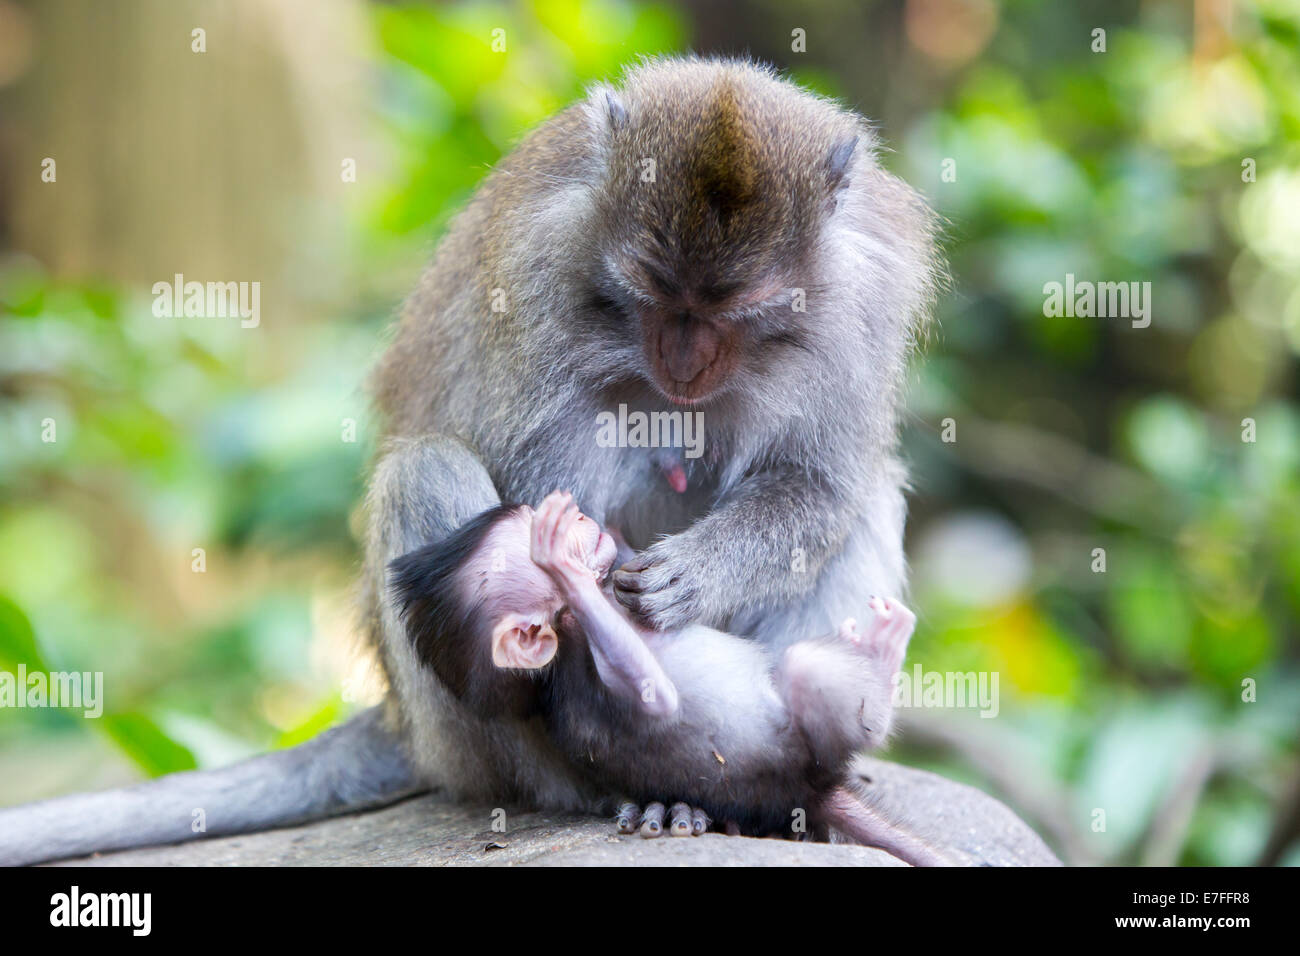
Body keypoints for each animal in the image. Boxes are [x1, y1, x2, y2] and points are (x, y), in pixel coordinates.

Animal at [388, 490, 946, 865]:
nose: (579, 514)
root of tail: (809, 790)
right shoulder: (581, 672)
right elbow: (654, 698)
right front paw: (561, 566)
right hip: (805, 748)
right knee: (808, 671)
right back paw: (884, 649)